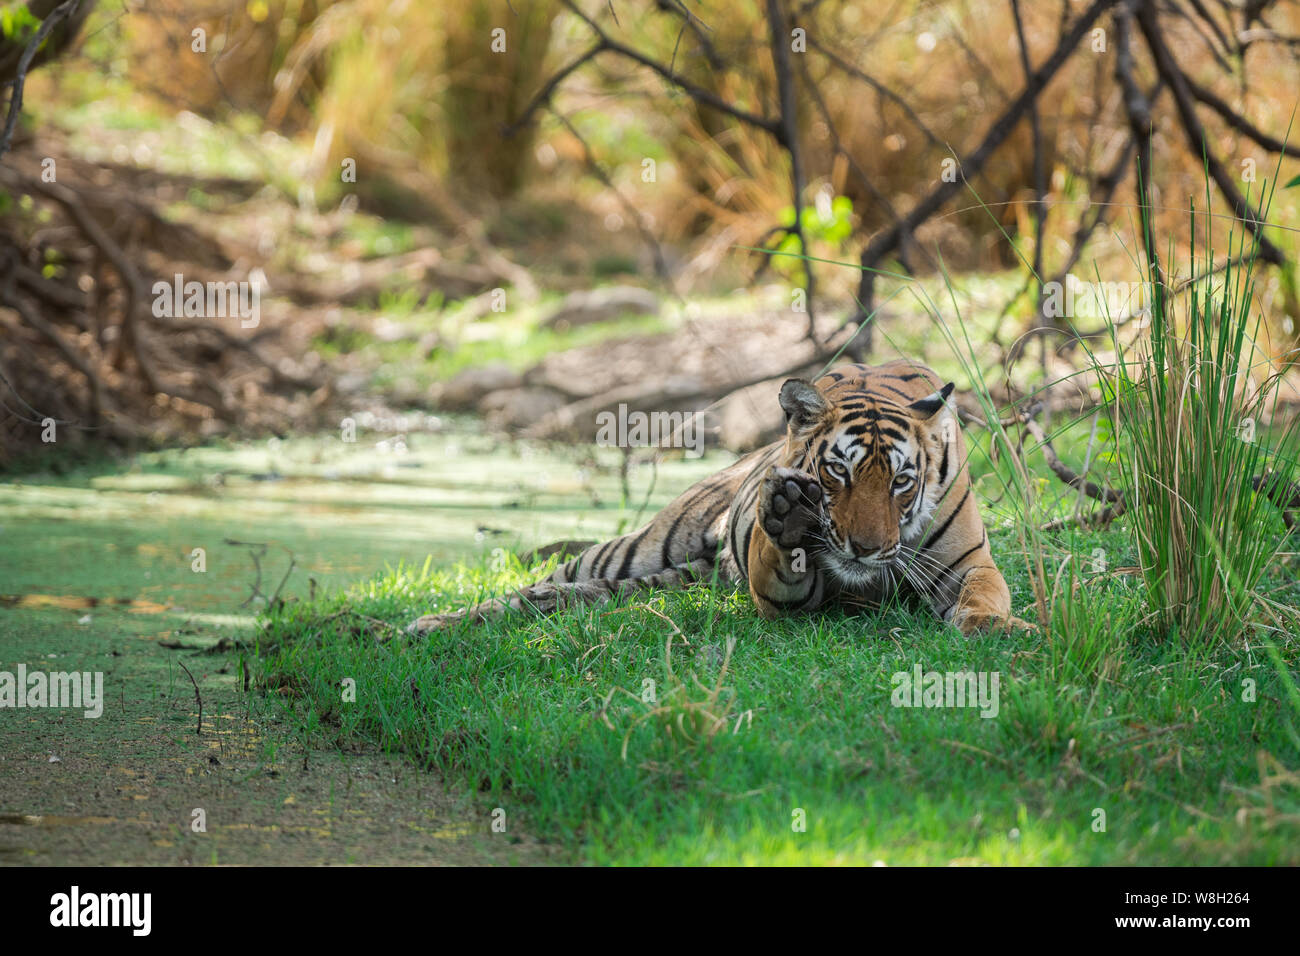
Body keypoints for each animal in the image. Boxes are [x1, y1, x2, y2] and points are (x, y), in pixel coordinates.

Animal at [409, 359, 1012, 636]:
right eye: (838, 472)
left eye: (900, 482)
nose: (865, 550)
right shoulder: (785, 593)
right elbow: (782, 566)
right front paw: (788, 514)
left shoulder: (967, 563)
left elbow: (985, 595)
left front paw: (999, 628)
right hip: (635, 548)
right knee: (535, 584)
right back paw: (423, 625)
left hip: (654, 579)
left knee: (561, 595)